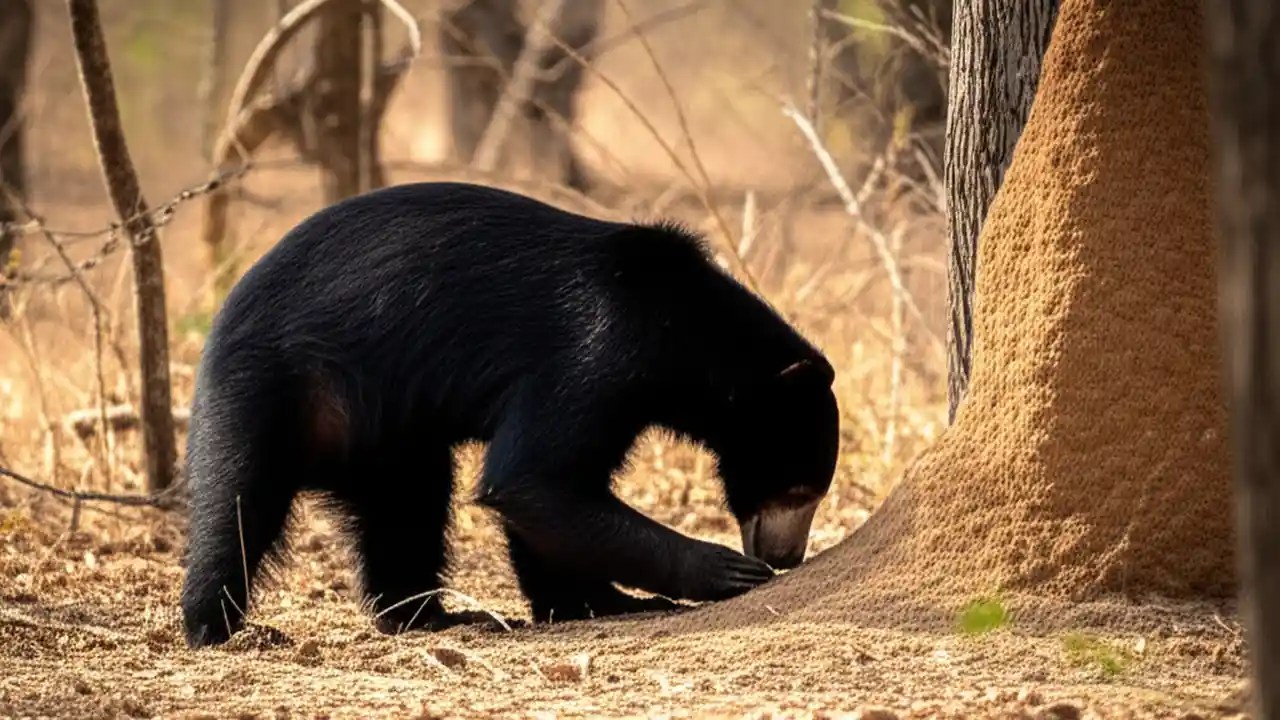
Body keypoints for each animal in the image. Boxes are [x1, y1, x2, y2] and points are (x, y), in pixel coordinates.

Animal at [179, 182, 840, 648]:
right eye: (797, 488)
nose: (785, 556)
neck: (684, 332)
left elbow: (549, 500)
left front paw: (594, 603)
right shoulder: (598, 355)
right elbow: (535, 478)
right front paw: (724, 573)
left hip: (385, 431)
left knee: (408, 507)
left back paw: (430, 617)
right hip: (274, 382)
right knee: (238, 498)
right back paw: (219, 629)